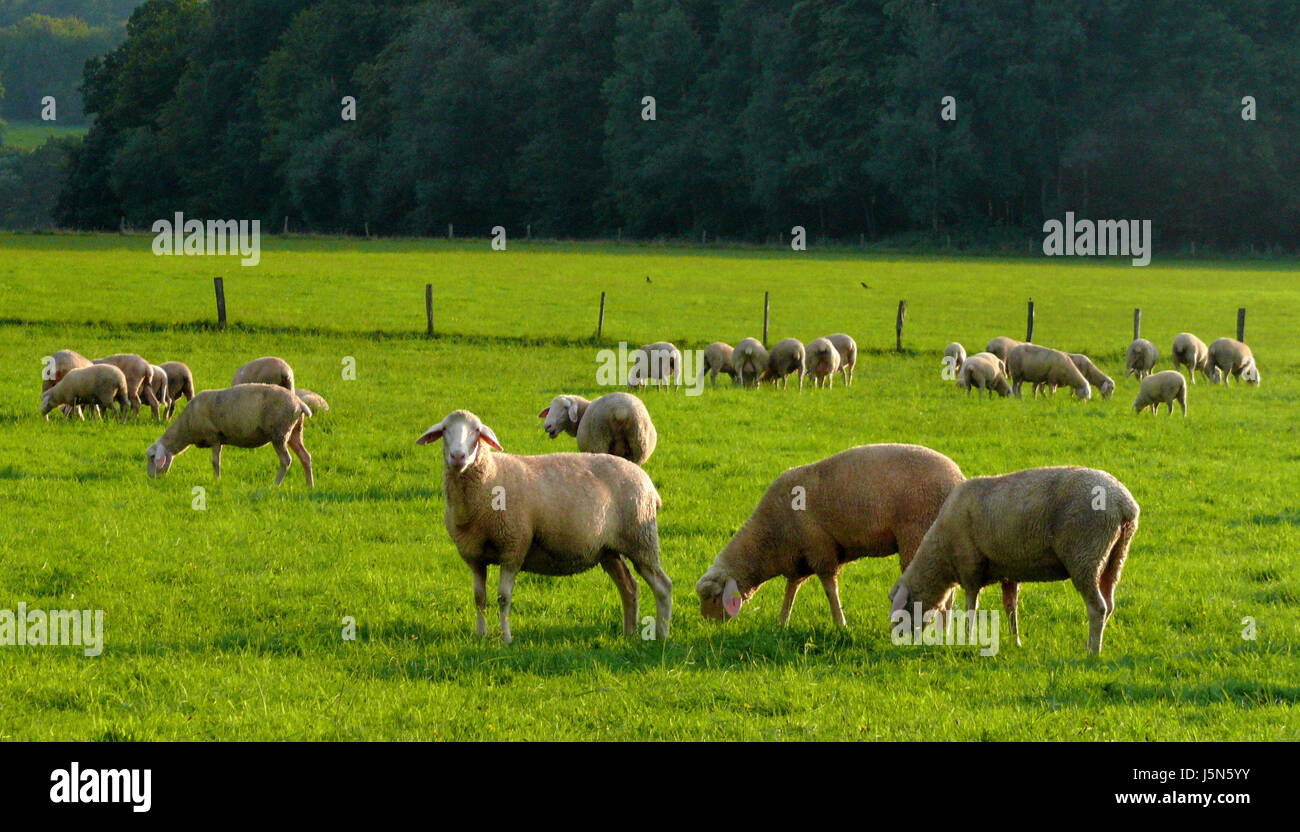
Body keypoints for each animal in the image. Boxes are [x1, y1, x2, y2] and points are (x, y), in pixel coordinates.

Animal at [145, 383, 313, 486]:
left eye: (152, 457)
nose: (151, 478)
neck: (186, 426)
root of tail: (299, 403)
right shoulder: (219, 439)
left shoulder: (213, 436)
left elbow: (215, 461)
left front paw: (216, 479)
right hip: (294, 432)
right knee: (305, 456)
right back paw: (309, 485)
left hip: (279, 433)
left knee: (286, 460)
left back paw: (275, 485)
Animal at [417, 409, 671, 643]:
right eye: (445, 430)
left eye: (477, 431)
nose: (458, 456)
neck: (489, 479)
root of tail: (647, 481)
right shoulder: (474, 556)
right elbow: (479, 598)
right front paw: (481, 635)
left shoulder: (513, 548)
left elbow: (503, 597)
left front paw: (505, 638)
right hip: (609, 550)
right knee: (629, 587)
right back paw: (629, 632)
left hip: (640, 539)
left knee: (663, 586)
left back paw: (661, 634)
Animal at [696, 444, 964, 627]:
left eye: (714, 597)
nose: (708, 624)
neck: (768, 536)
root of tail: (958, 478)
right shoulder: (798, 557)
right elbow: (791, 589)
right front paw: (782, 621)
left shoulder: (820, 551)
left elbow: (829, 589)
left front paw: (840, 623)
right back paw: (945, 630)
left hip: (918, 535)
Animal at [889, 466, 1139, 654]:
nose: (898, 641)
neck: (941, 554)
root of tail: (1124, 505)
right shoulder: (1008, 572)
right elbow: (1010, 607)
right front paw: (1015, 641)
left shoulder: (970, 568)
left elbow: (971, 607)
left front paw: (968, 639)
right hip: (1115, 556)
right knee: (1109, 604)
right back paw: (1096, 642)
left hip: (1085, 555)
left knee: (1097, 607)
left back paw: (1092, 651)